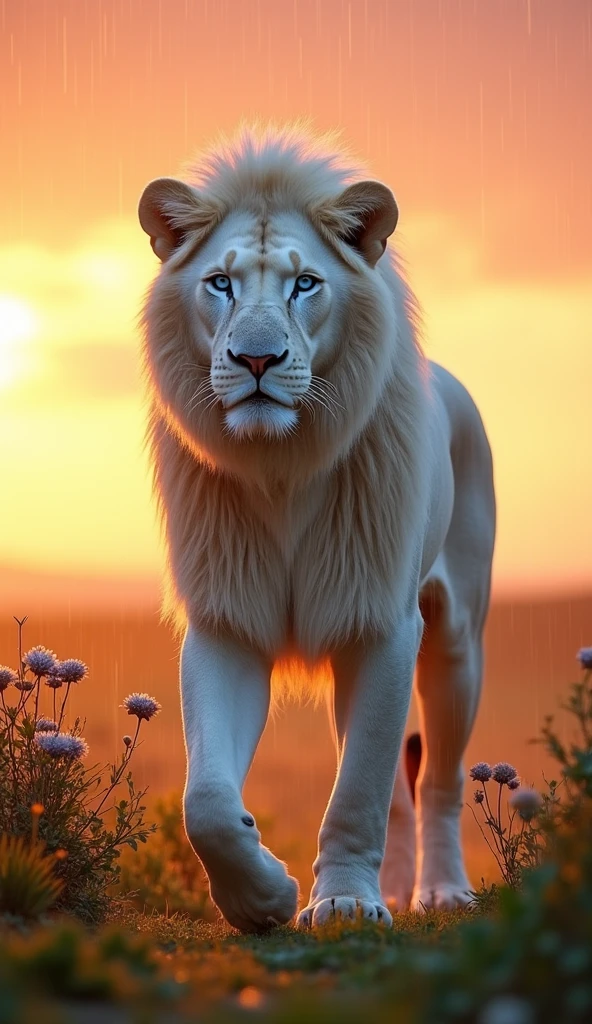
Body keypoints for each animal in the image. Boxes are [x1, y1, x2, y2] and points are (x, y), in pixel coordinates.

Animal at [137, 120, 496, 932]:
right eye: (221, 283)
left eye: (305, 284)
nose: (256, 359)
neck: (282, 466)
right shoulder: (228, 620)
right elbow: (208, 801)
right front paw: (263, 895)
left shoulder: (382, 621)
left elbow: (357, 791)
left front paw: (345, 904)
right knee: (399, 793)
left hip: (456, 638)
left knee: (438, 781)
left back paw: (440, 891)